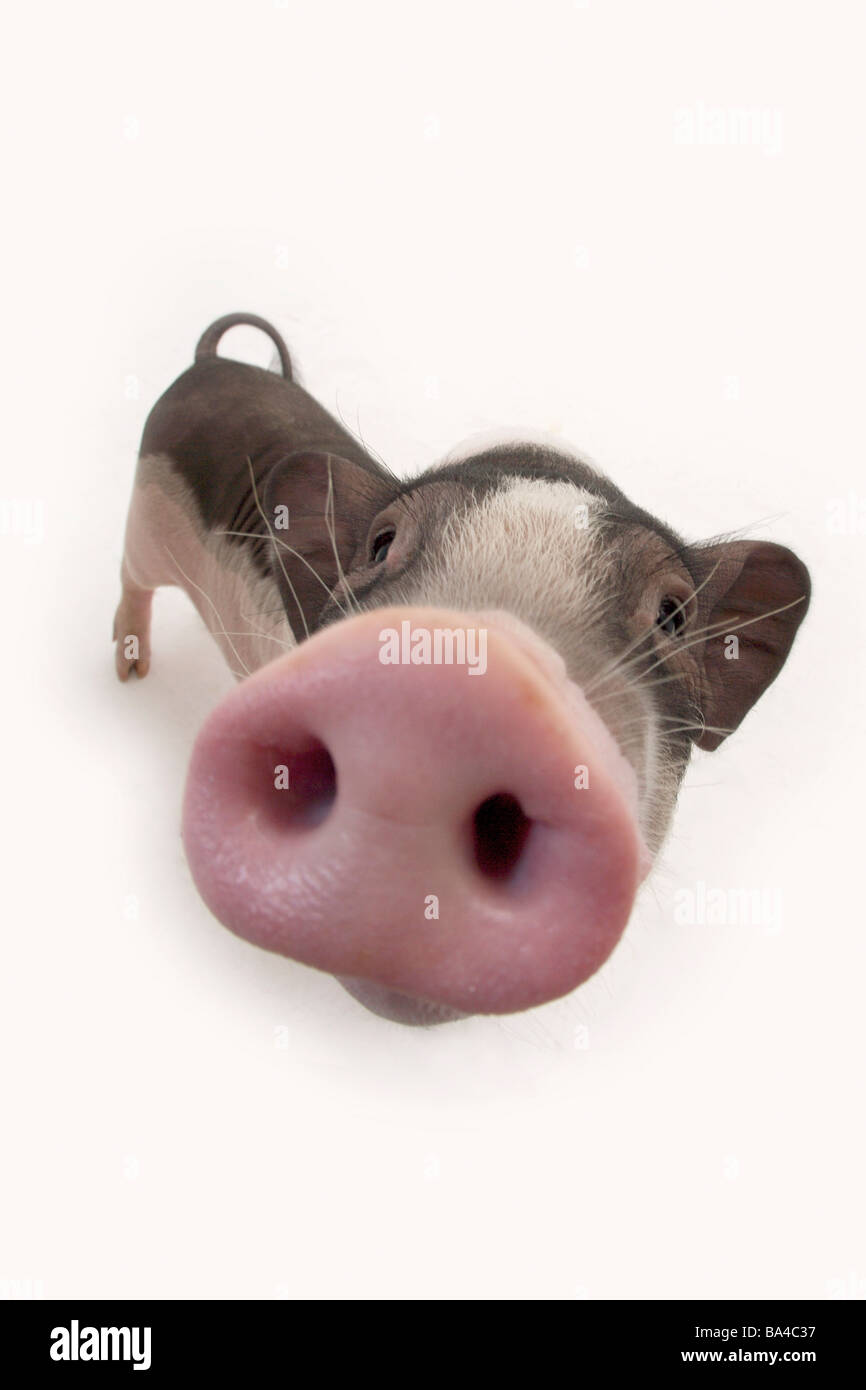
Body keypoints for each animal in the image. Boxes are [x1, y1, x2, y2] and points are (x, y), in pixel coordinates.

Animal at [114, 312, 811, 1025]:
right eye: (380, 545)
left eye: (674, 614)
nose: (456, 679)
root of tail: (211, 364)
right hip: (141, 515)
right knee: (131, 582)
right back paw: (128, 672)